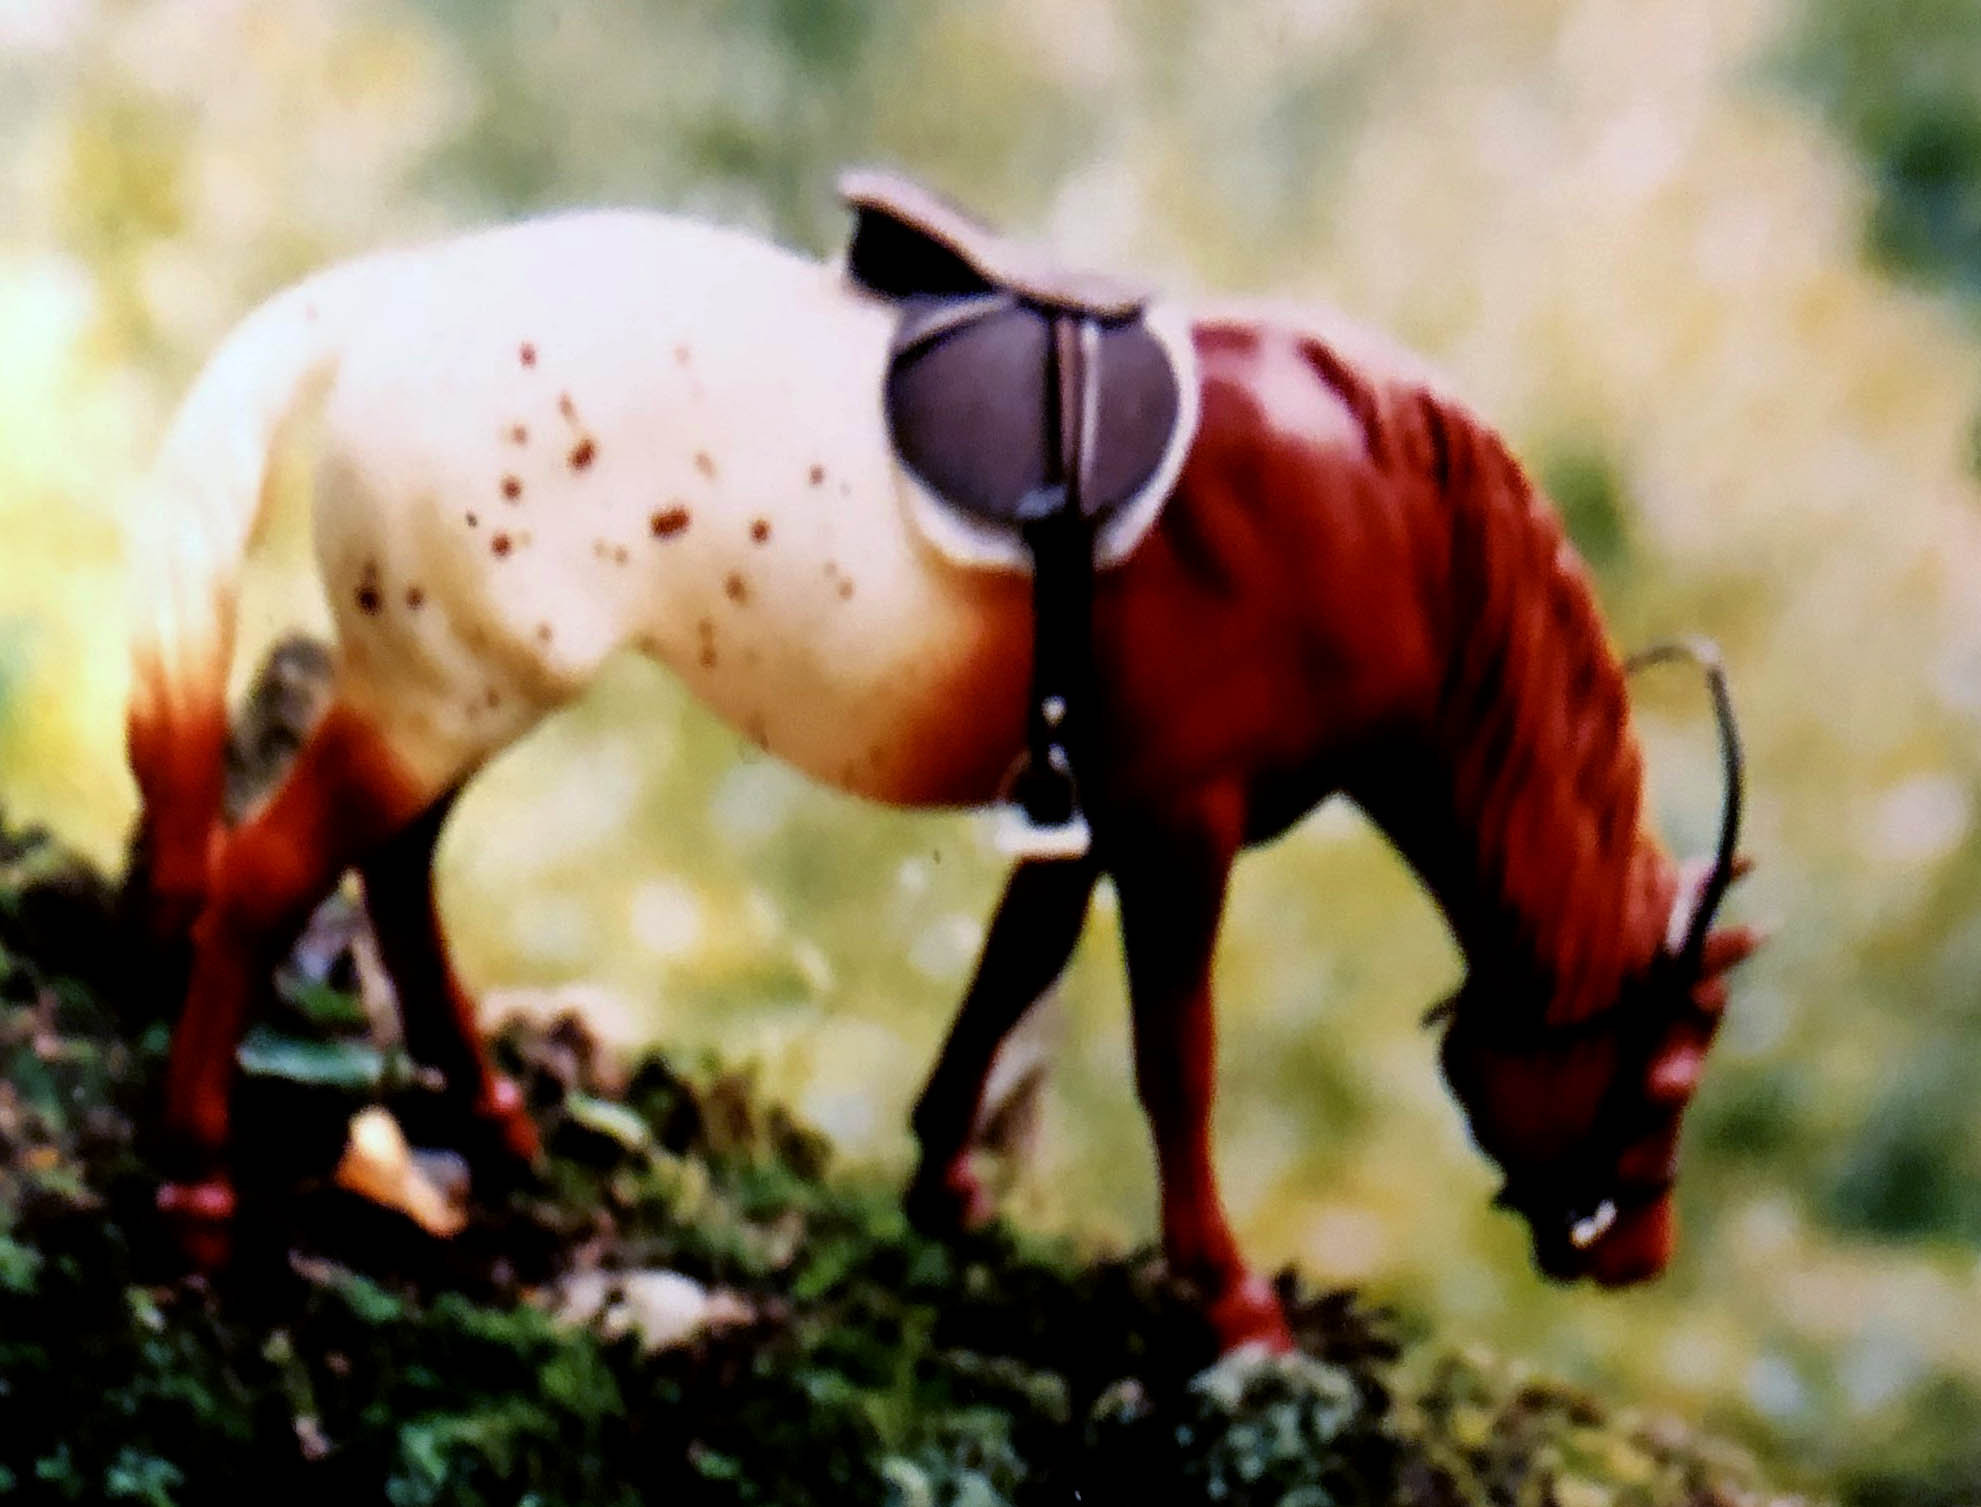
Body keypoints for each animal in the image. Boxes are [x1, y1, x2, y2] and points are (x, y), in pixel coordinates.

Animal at [123, 183, 1759, 1352]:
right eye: (1665, 1072)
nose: (1638, 1253)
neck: (1373, 512)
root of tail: (406, 290)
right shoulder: (1183, 823)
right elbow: (1177, 1054)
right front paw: (1228, 1298)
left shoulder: (1096, 812)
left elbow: (1008, 973)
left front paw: (943, 1190)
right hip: (447, 691)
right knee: (267, 883)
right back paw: (199, 1191)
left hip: (451, 688)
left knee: (393, 870)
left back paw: (488, 1122)